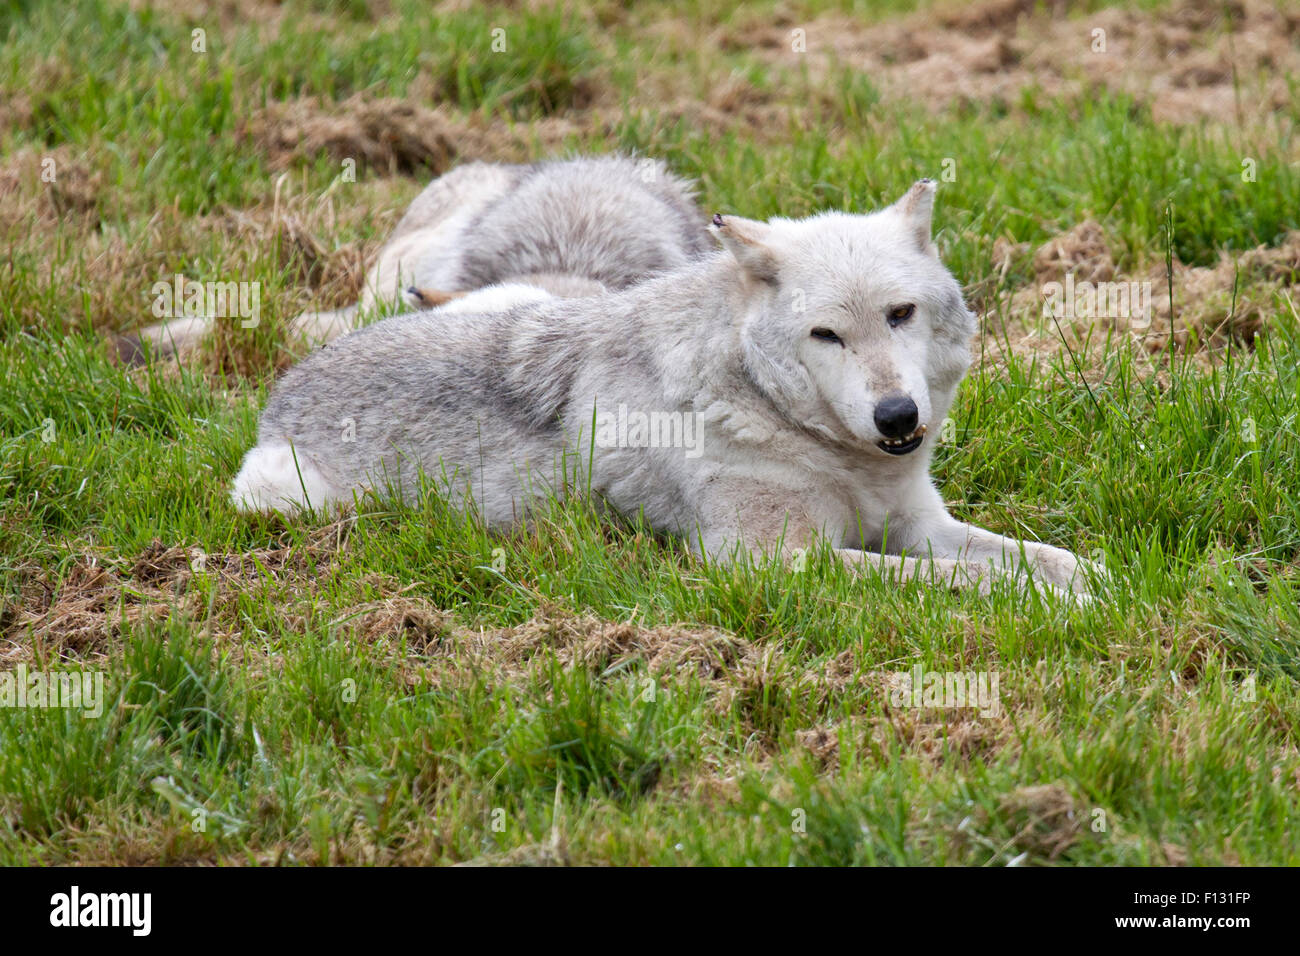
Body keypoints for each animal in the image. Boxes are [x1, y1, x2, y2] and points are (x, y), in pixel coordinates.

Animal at [232, 180, 1096, 597]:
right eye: (827, 335)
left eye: (900, 314)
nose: (896, 416)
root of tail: (285, 388)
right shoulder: (769, 563)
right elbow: (966, 580)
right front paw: (1050, 606)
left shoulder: (915, 522)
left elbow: (1046, 557)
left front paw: (1092, 586)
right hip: (298, 502)